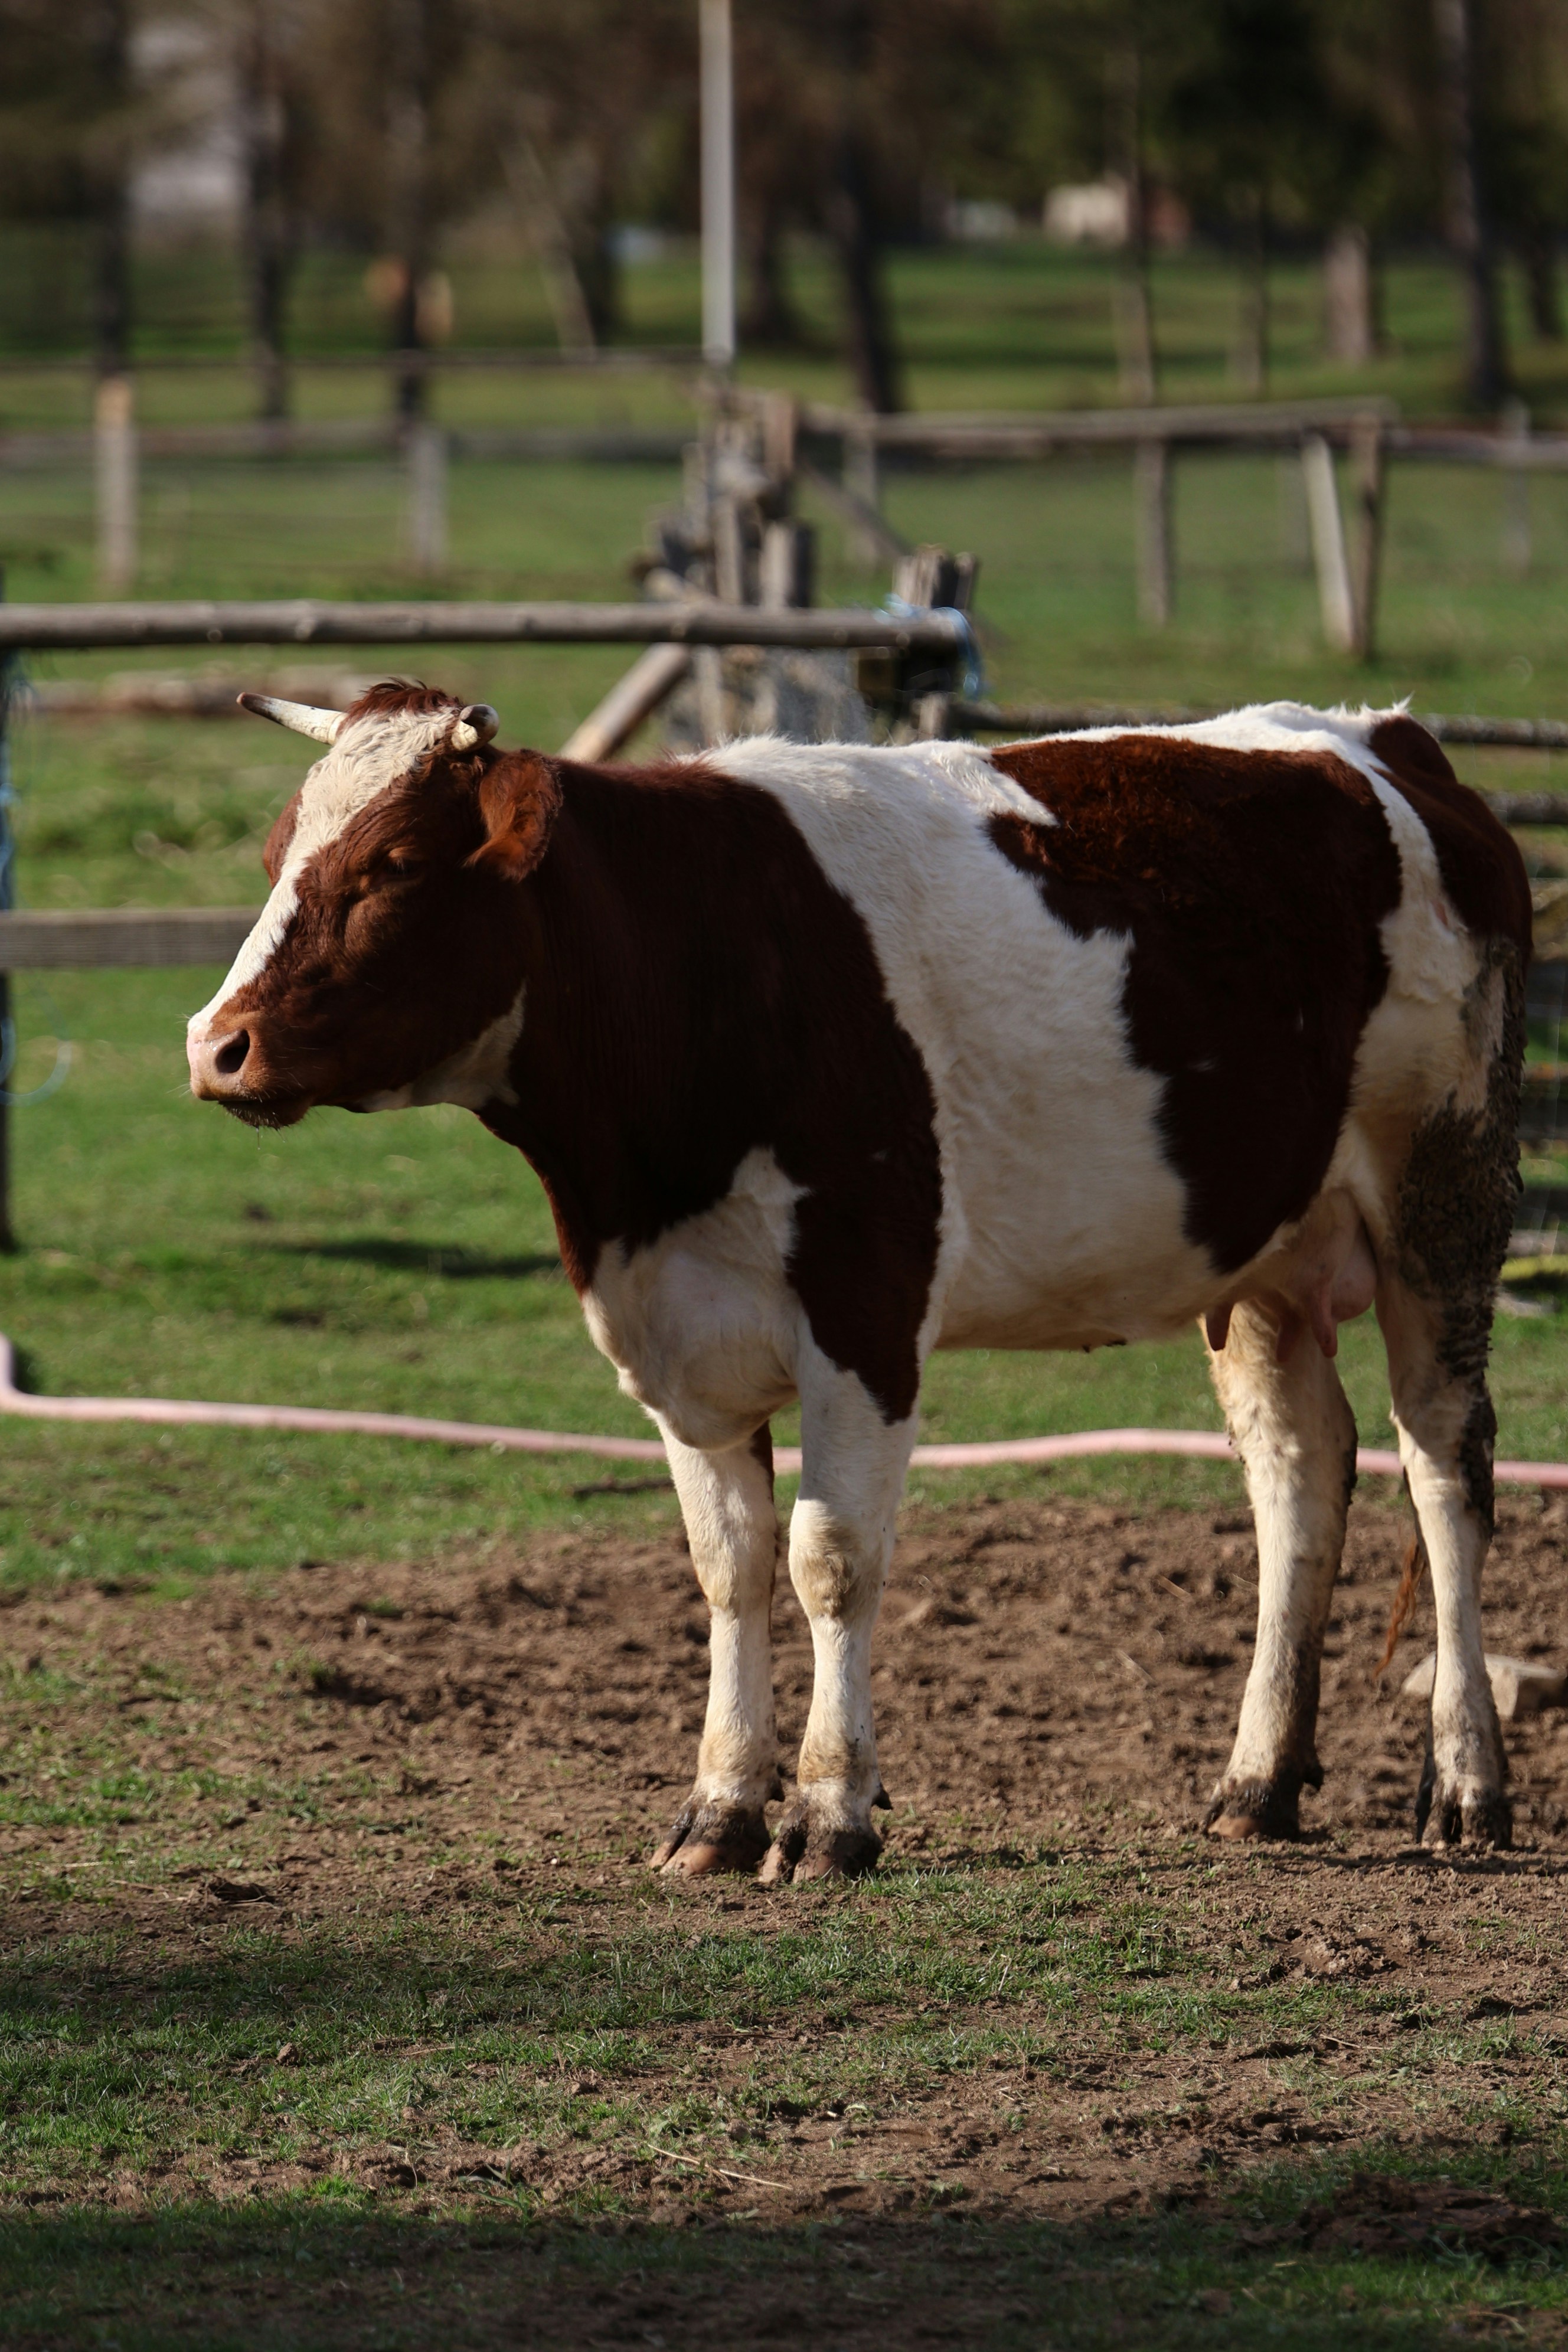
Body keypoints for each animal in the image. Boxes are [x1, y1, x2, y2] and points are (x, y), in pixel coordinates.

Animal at [187, 685, 1531, 1877]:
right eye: (276, 851)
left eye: (398, 861)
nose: (216, 1046)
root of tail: (1385, 738)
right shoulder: (677, 1333)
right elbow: (727, 1565)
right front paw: (718, 1812)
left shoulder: (865, 1311)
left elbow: (829, 1560)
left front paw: (832, 1814)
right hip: (1263, 1252)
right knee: (1297, 1472)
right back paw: (1256, 1784)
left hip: (1444, 1191)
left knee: (1441, 1463)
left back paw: (1466, 1785)